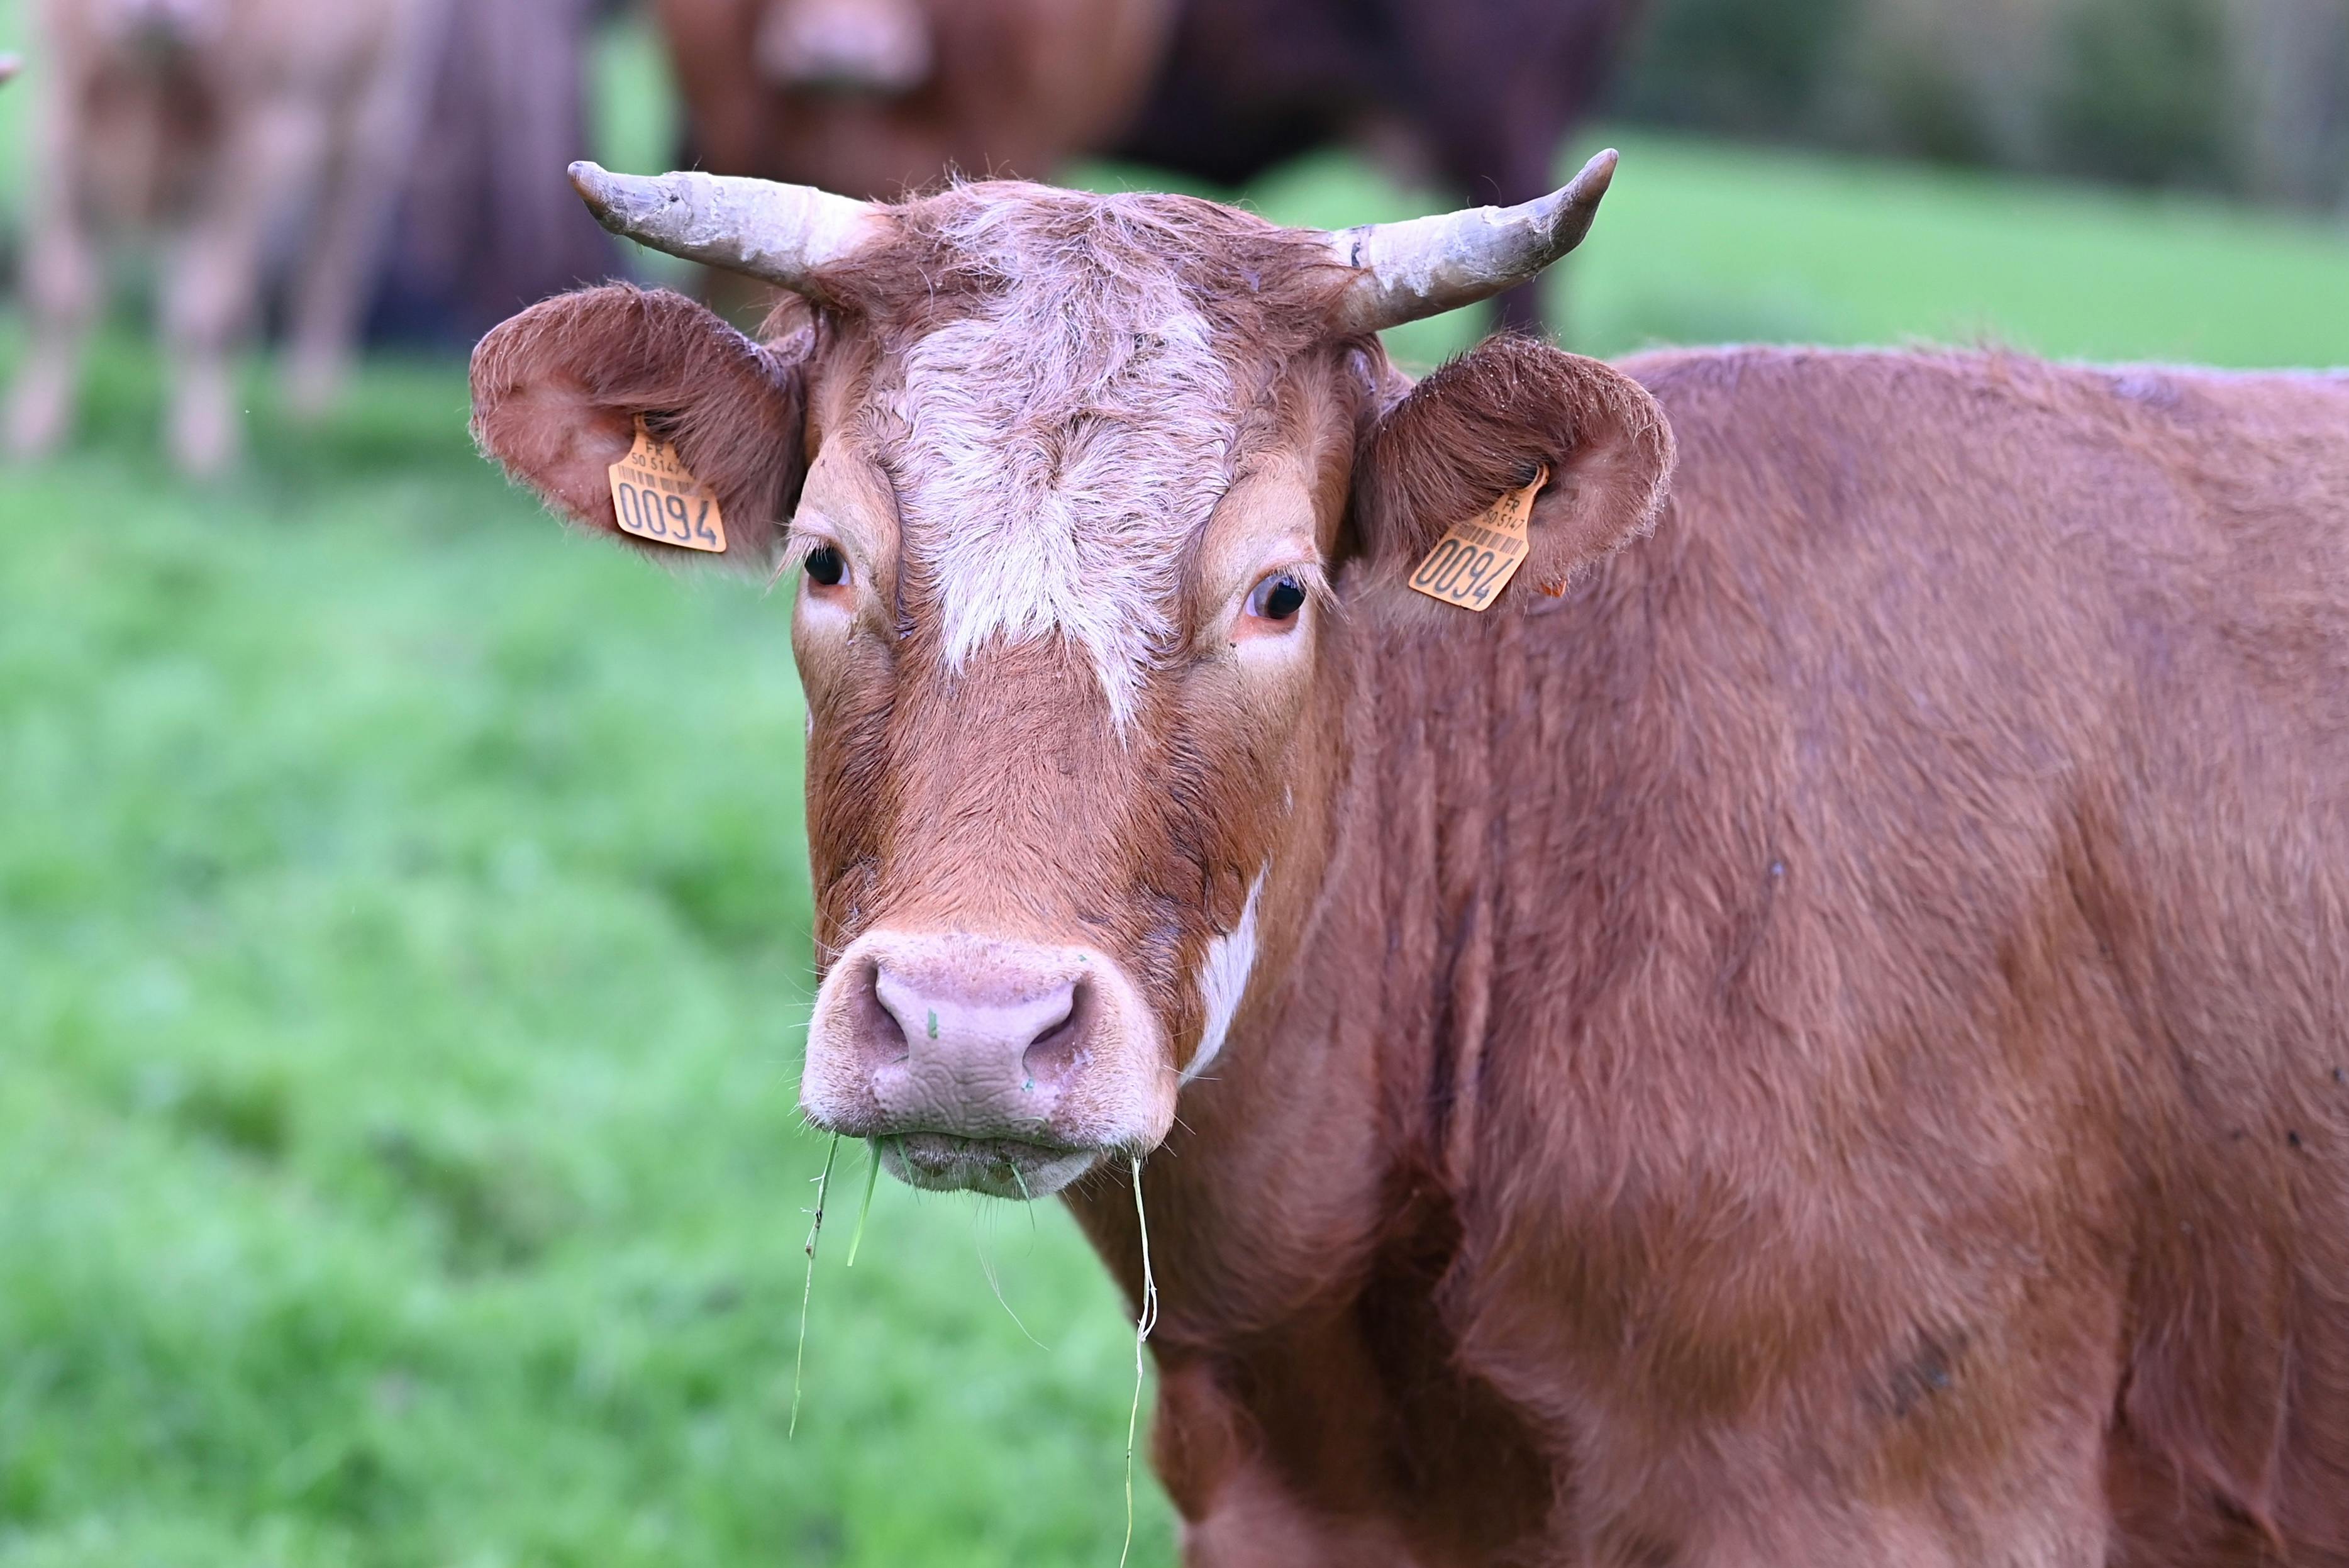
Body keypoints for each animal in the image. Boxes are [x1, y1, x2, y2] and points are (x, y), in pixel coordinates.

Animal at [5, 0, 451, 475]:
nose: (157, 12)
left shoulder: (238, 170)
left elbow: (213, 316)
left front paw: (206, 451)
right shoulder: (62, 152)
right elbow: (60, 299)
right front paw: (35, 431)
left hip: (366, 139)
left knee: (329, 274)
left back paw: (309, 410)